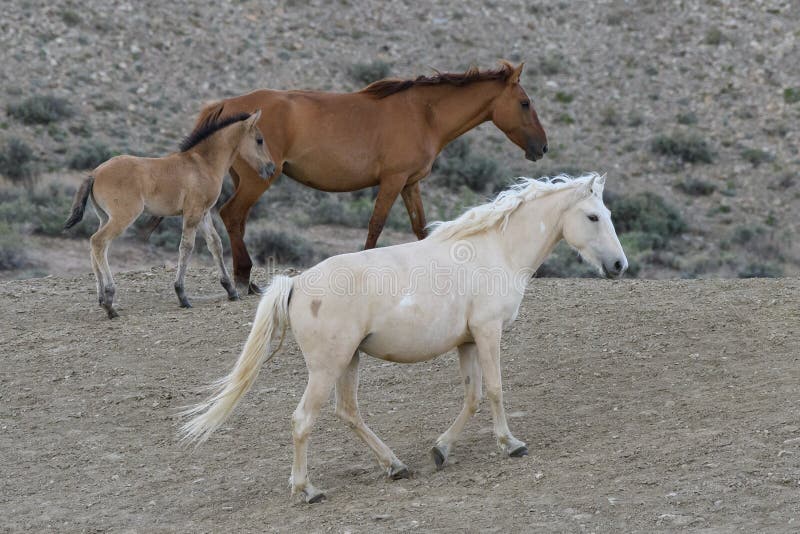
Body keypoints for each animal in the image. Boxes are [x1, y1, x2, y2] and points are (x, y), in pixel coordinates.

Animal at [64, 110, 274, 319]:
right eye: (259, 140)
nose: (271, 168)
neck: (203, 164)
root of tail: (95, 172)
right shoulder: (193, 212)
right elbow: (186, 247)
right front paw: (182, 296)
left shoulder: (204, 213)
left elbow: (215, 245)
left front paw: (231, 291)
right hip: (123, 216)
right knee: (99, 242)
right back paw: (109, 303)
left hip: (105, 217)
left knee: (94, 247)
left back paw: (101, 299)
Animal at [181, 173, 627, 503]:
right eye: (593, 217)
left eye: (607, 213)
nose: (620, 265)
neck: (495, 250)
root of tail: (295, 284)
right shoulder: (488, 332)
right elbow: (496, 390)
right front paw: (511, 444)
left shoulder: (467, 342)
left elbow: (472, 396)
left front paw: (441, 450)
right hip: (327, 367)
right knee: (303, 419)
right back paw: (307, 490)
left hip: (349, 361)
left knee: (349, 412)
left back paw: (395, 466)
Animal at [188, 60, 548, 295]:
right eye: (525, 103)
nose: (542, 147)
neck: (424, 114)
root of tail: (227, 104)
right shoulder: (392, 180)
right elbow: (376, 226)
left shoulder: (410, 183)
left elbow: (420, 229)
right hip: (257, 180)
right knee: (232, 215)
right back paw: (243, 280)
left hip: (245, 180)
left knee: (237, 220)